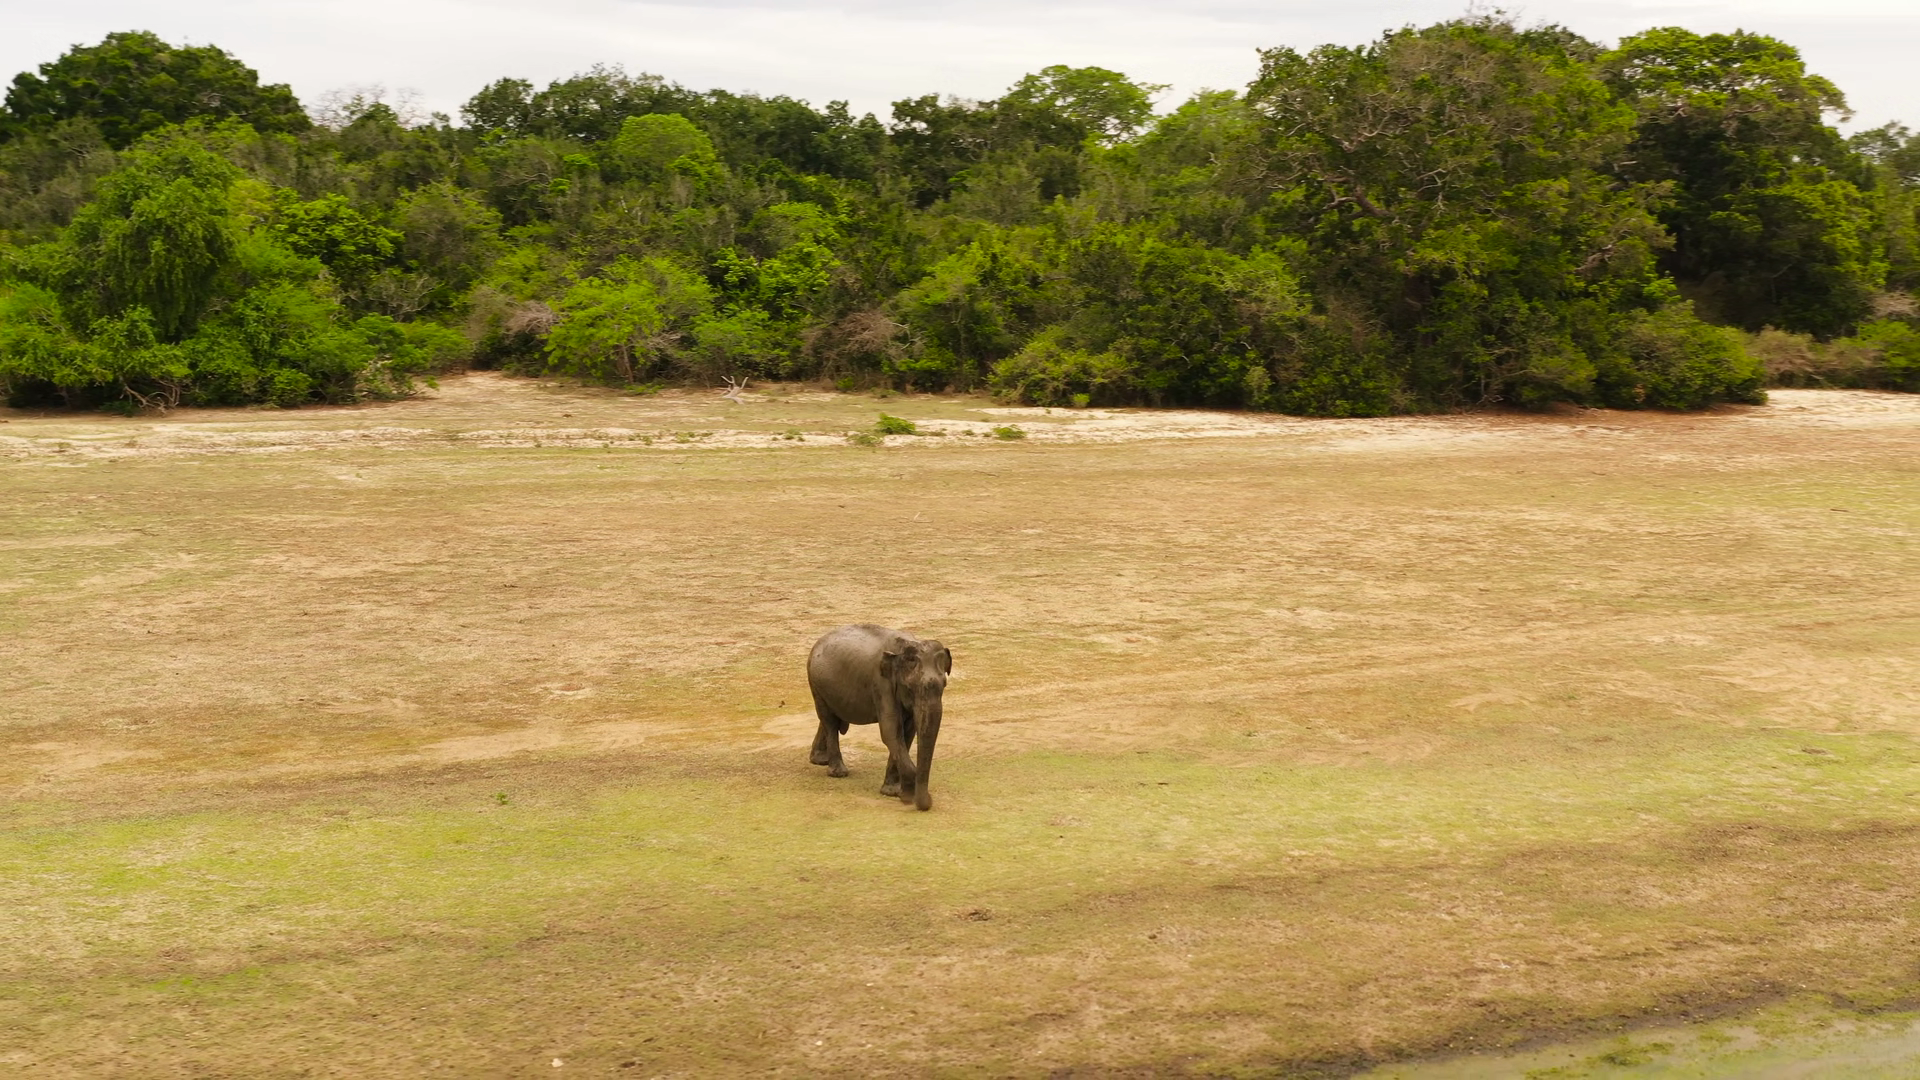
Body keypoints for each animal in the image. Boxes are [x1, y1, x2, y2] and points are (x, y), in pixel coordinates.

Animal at [806, 624, 952, 811]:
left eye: (944, 685)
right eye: (910, 688)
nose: (928, 801)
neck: (904, 646)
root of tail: (818, 642)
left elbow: (907, 733)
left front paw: (892, 792)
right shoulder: (882, 684)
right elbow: (890, 731)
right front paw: (905, 796)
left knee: (829, 720)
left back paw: (820, 760)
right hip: (816, 683)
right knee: (829, 721)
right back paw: (838, 773)